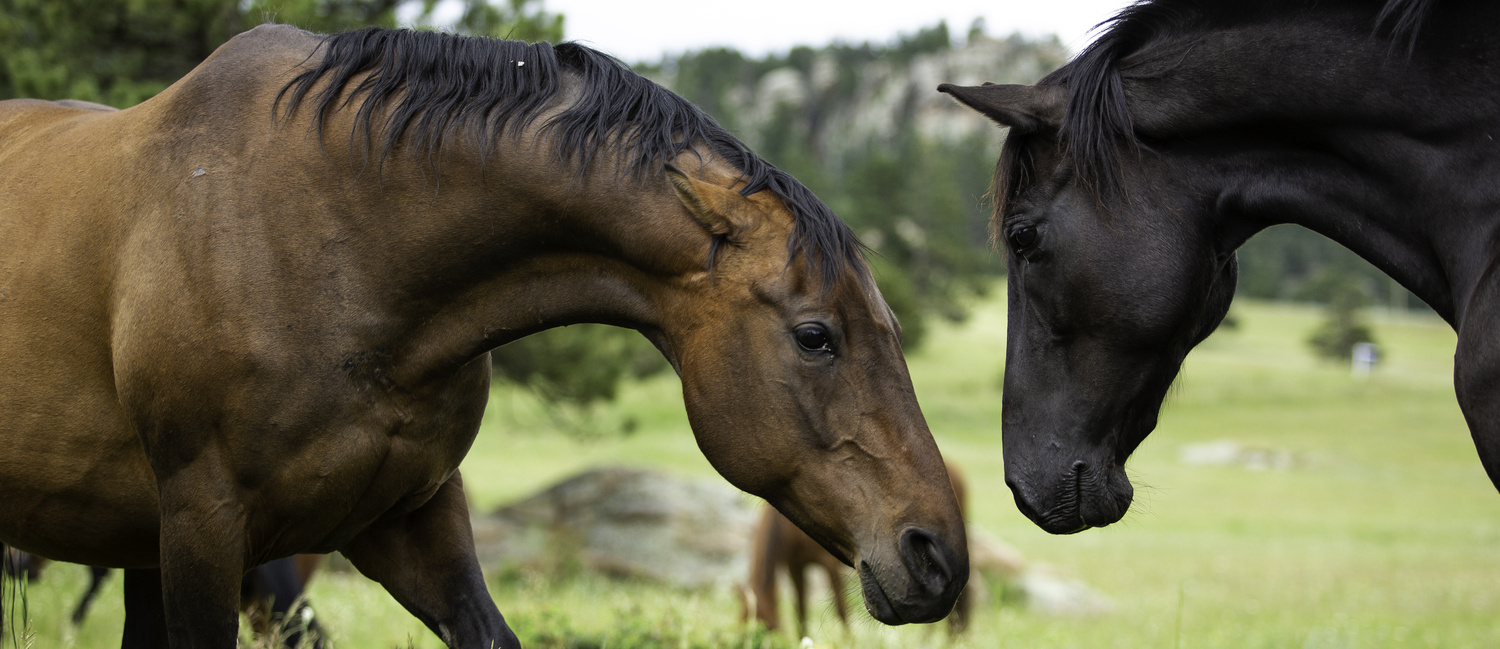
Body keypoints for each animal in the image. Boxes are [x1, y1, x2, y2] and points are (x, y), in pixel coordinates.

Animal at [741, 463, 971, 636]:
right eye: (742, 621)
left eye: (766, 626)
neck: (789, 531)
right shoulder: (795, 566)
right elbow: (801, 611)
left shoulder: (828, 565)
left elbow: (841, 610)